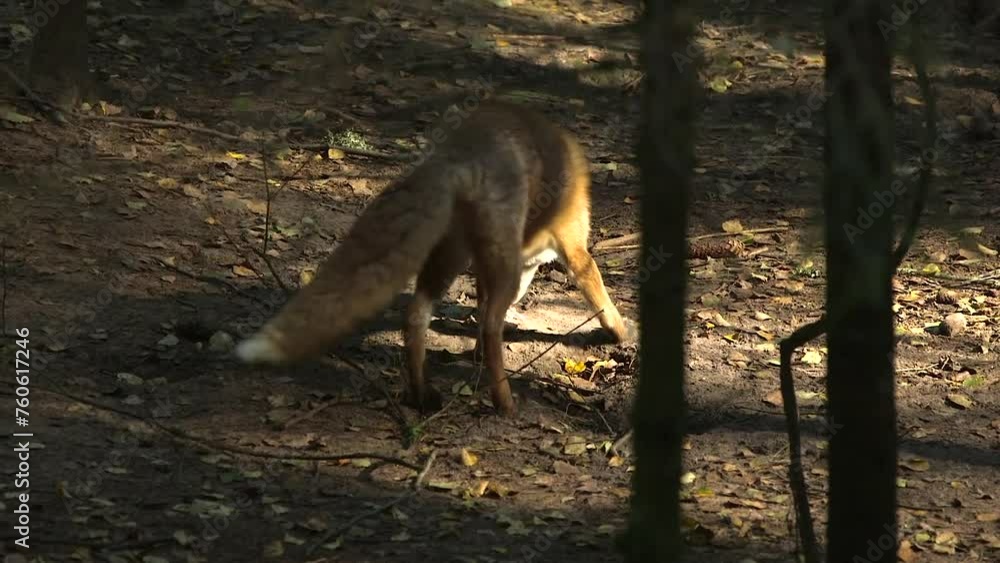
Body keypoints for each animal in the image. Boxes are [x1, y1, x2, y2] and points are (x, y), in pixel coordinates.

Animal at [235, 101, 629, 417]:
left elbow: (480, 306)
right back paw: (503, 402)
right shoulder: (572, 246)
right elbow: (598, 293)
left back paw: (420, 394)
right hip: (493, 261)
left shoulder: (488, 263)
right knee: (489, 324)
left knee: (417, 315)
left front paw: (473, 353)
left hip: (452, 256)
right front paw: (619, 332)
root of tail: (459, 155)